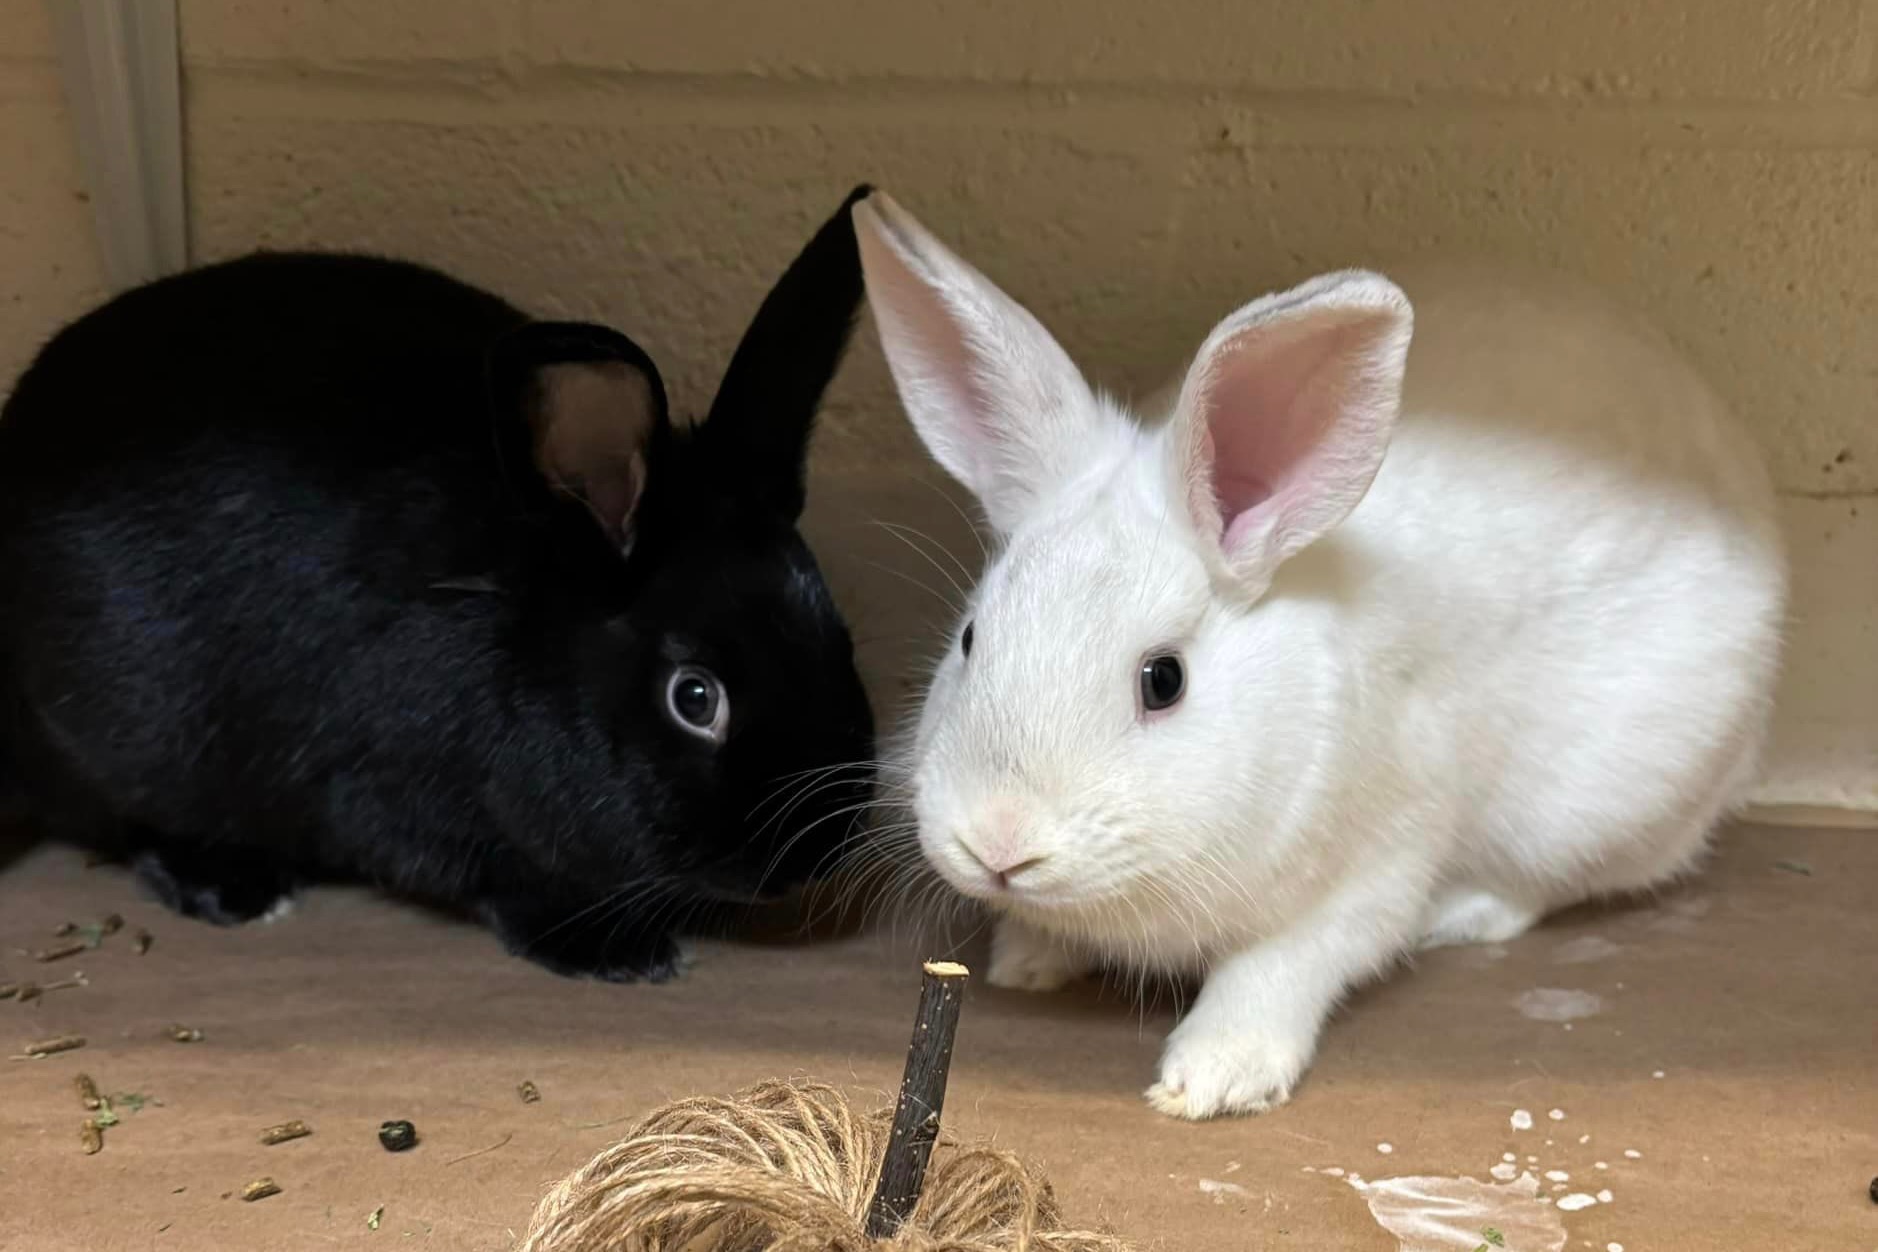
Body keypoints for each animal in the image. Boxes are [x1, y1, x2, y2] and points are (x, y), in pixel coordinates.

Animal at [850, 190, 1787, 1118]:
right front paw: (1028, 960)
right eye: (970, 639)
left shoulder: (1374, 866)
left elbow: (1284, 966)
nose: (998, 843)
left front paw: (1213, 1077)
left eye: (1164, 680)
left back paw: (1461, 914)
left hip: (1602, 804)